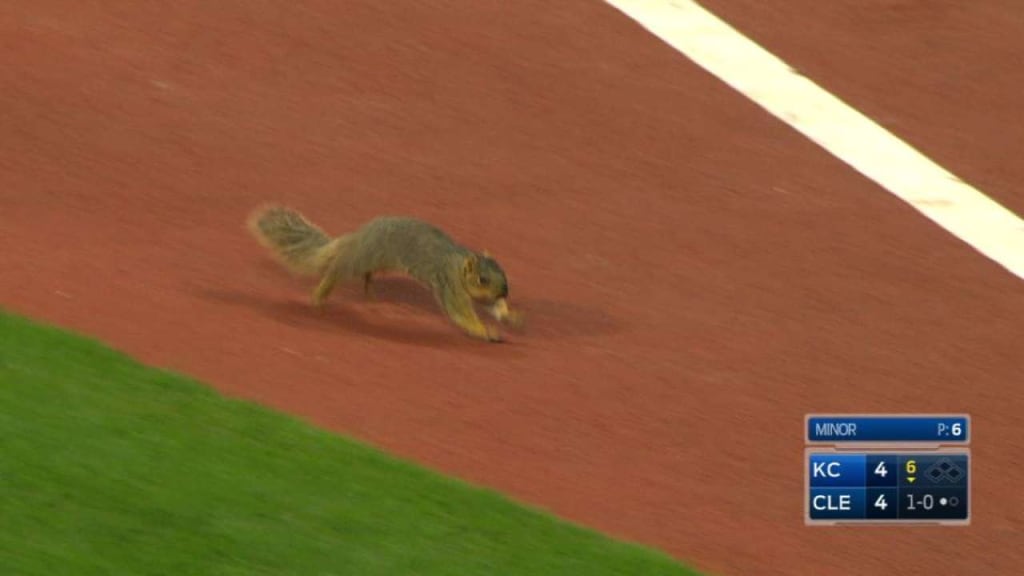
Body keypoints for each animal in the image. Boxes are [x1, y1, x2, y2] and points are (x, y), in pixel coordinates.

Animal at [247, 205, 524, 342]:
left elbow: (493, 307)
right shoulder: (450, 284)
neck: (458, 263)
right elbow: (461, 313)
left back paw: (370, 292)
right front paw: (484, 331)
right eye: (482, 279)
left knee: (366, 275)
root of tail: (357, 237)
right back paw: (319, 295)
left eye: (504, 276)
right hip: (359, 259)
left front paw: (510, 315)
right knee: (336, 270)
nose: (505, 292)